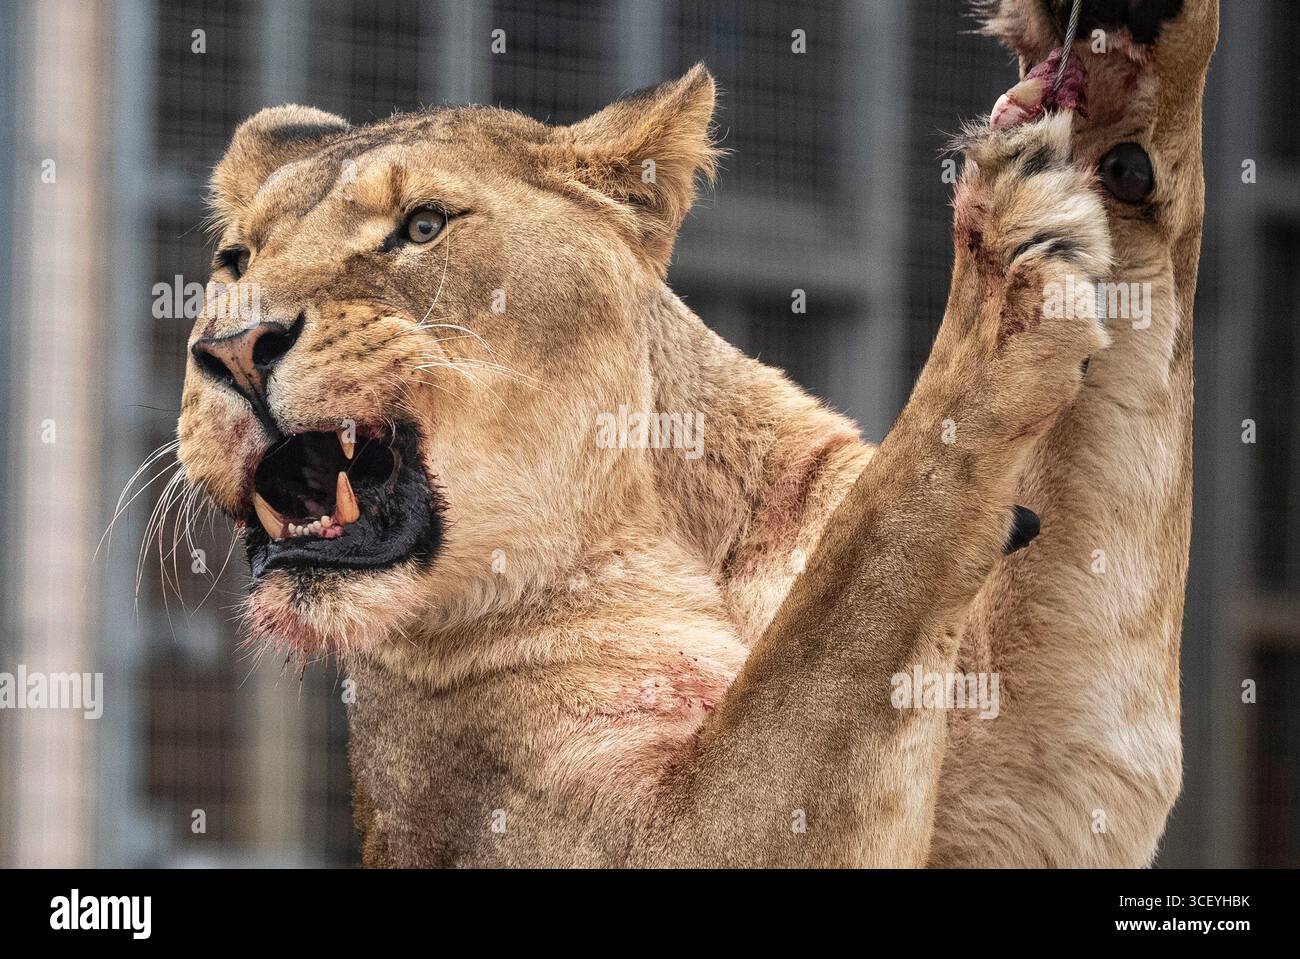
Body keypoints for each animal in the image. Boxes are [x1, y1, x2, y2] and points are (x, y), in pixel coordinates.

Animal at [175, 0, 1216, 866]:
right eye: (235, 260)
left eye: (423, 225)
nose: (228, 347)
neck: (682, 529)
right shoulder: (628, 835)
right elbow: (873, 565)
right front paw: (1002, 272)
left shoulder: (1024, 796)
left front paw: (1118, 74)